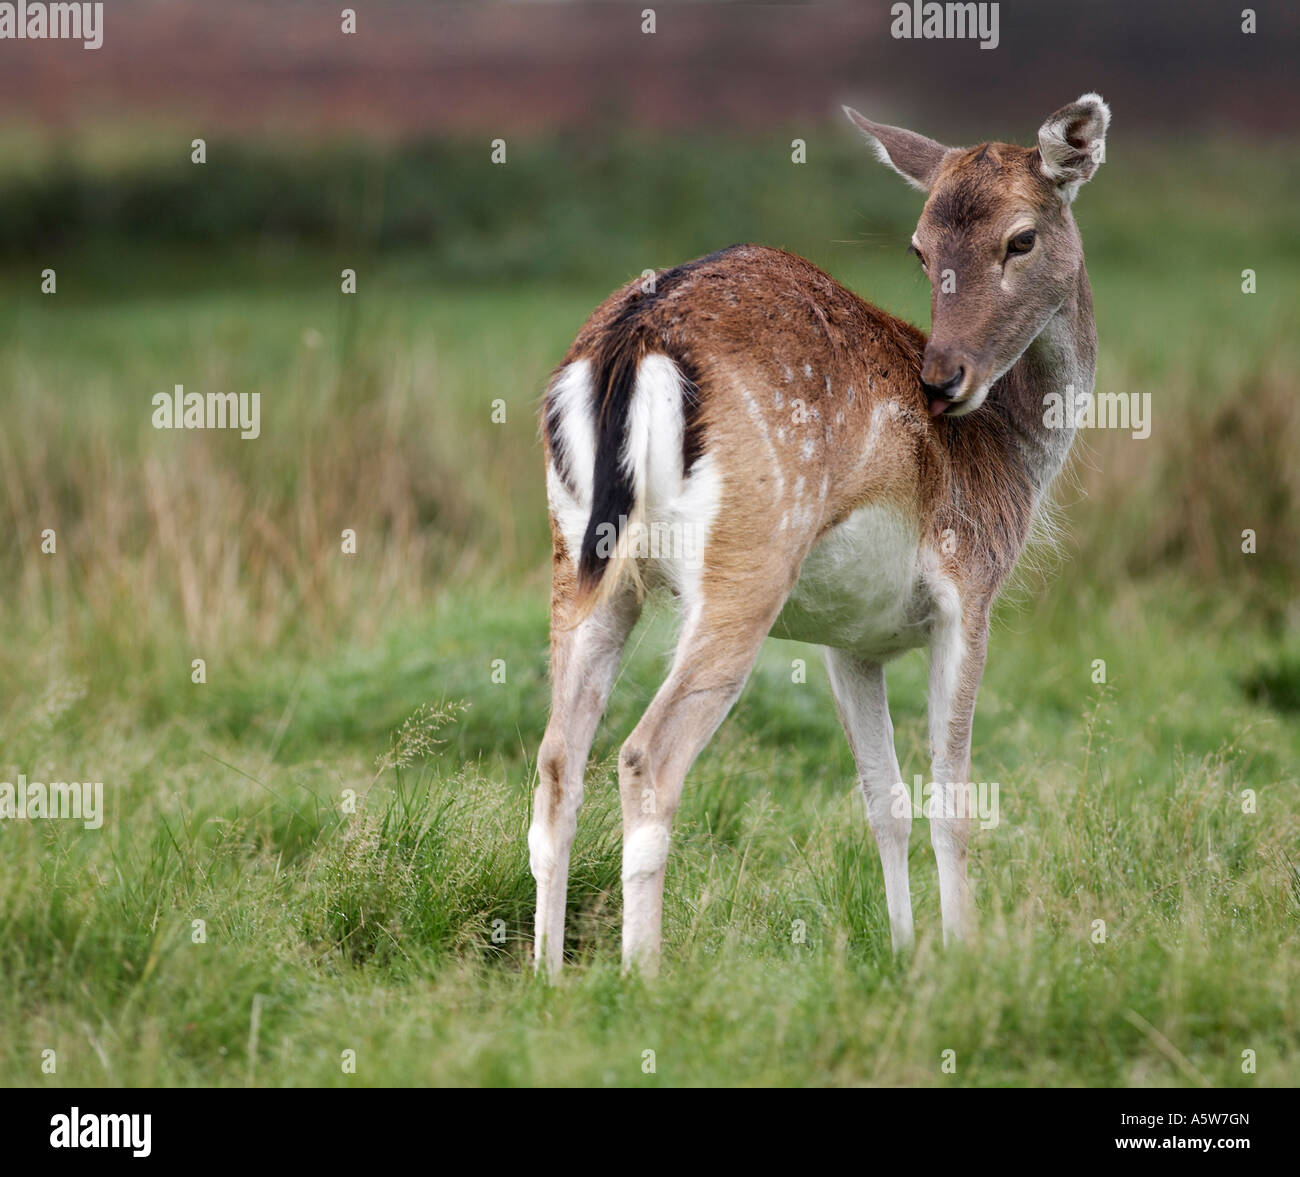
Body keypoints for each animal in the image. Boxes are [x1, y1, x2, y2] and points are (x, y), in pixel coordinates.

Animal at [530, 94, 1110, 976]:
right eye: (919, 246)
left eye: (1020, 238)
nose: (943, 380)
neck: (1011, 454)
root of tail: (632, 340)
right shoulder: (968, 586)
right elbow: (953, 797)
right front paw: (962, 952)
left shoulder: (851, 639)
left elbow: (885, 798)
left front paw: (904, 951)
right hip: (748, 557)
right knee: (645, 754)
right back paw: (643, 974)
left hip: (581, 560)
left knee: (558, 760)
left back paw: (546, 974)